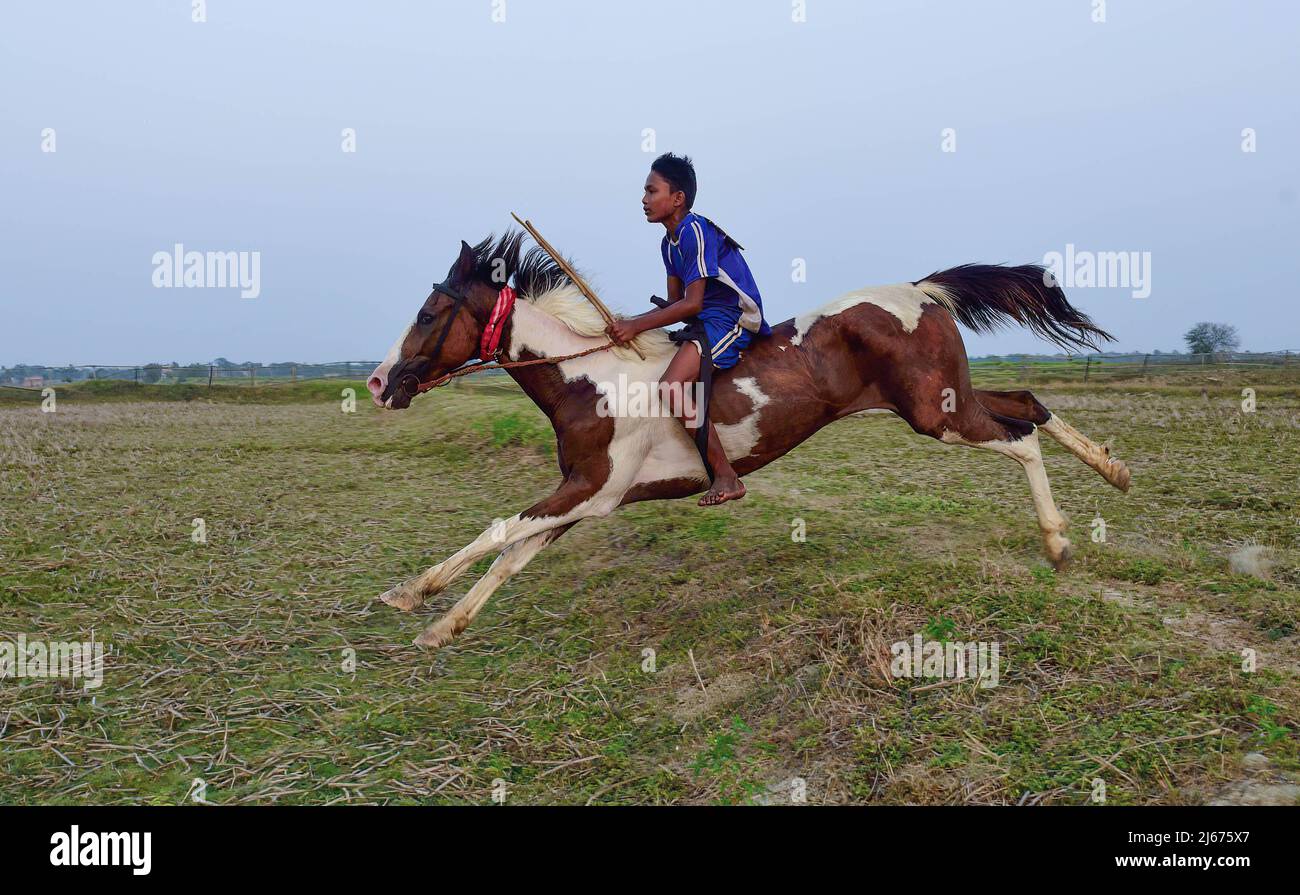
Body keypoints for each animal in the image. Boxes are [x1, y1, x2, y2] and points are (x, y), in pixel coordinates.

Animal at [367, 231, 1131, 649]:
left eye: (429, 312)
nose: (378, 382)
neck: (589, 380)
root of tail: (918, 290)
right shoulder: (583, 496)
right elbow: (511, 557)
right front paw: (441, 624)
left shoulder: (592, 490)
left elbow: (498, 532)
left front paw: (407, 594)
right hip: (945, 400)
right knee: (1028, 406)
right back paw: (1113, 471)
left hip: (937, 416)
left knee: (1021, 438)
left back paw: (1058, 541)